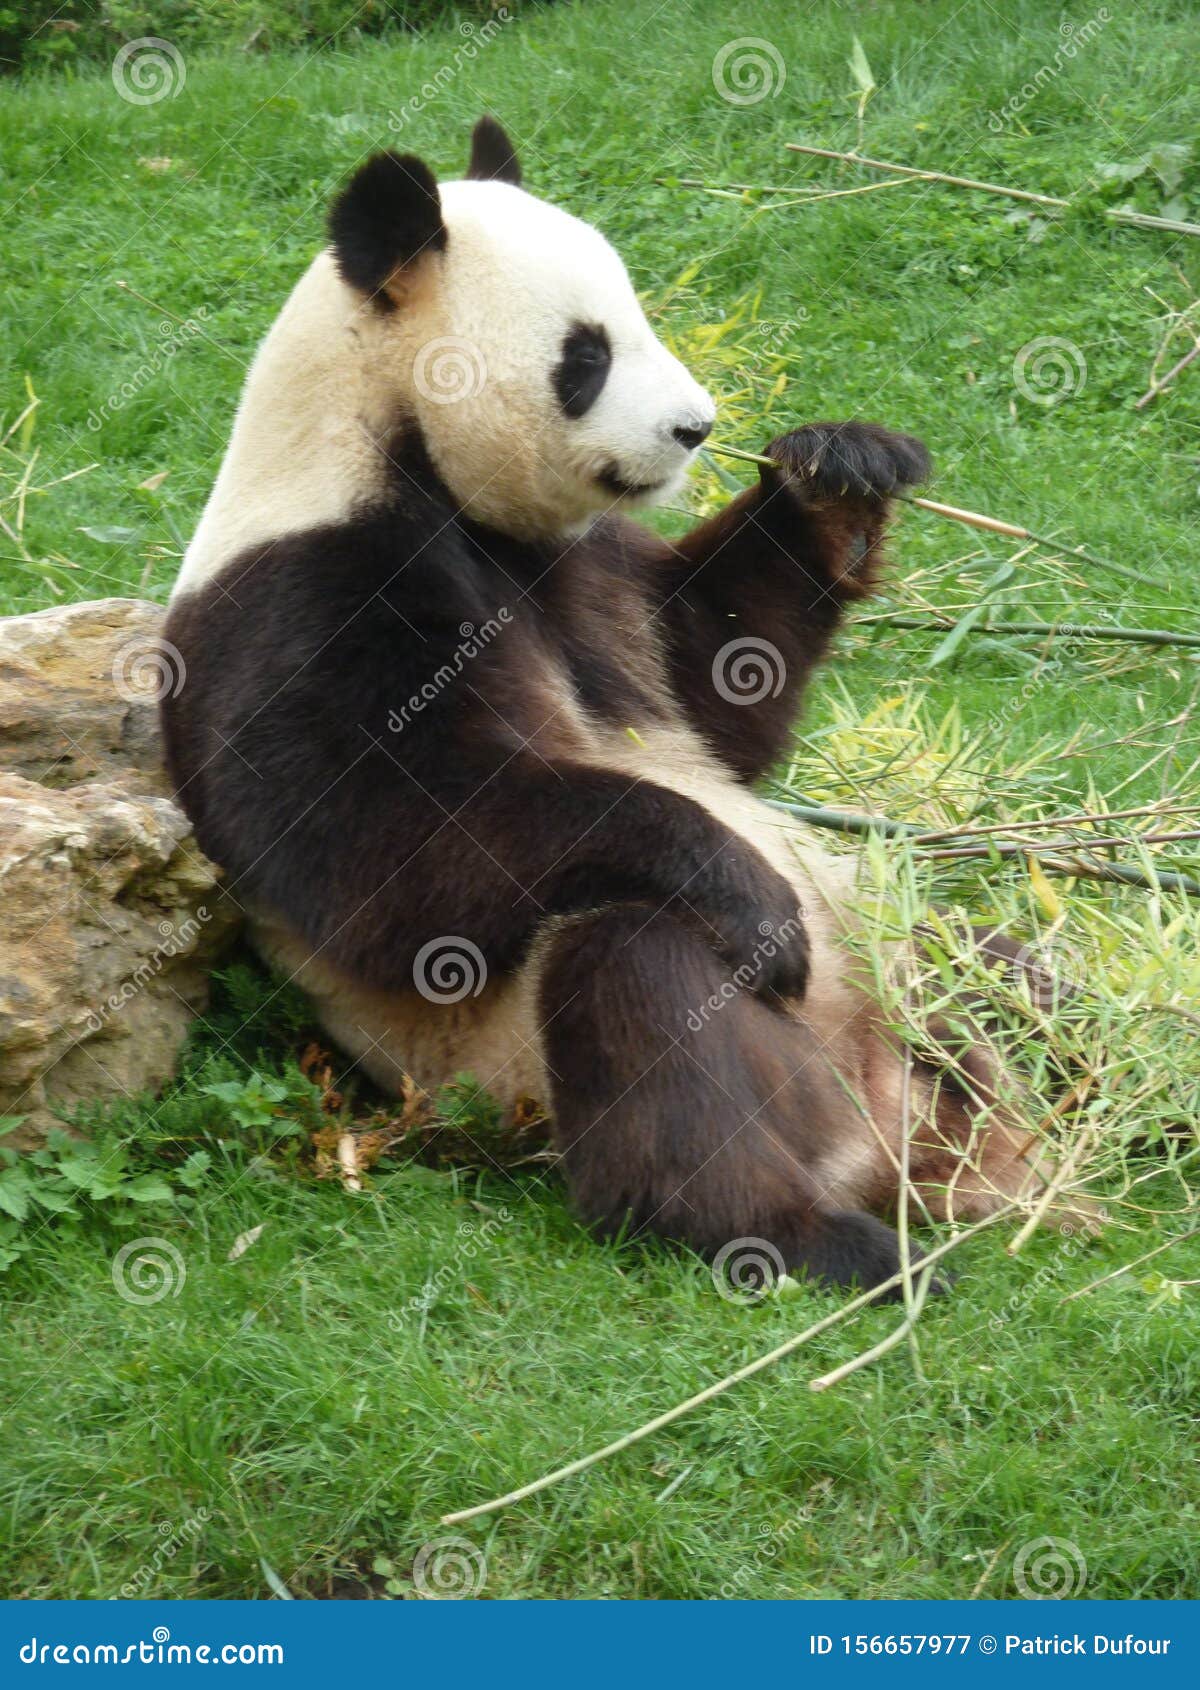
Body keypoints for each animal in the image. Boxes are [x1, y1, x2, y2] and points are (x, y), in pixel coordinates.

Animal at [162, 117, 1051, 1295]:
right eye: (586, 355)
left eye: (640, 318)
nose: (695, 427)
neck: (388, 442)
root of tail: (899, 1140)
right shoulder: (303, 596)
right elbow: (387, 852)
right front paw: (754, 904)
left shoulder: (586, 570)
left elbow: (715, 678)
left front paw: (840, 471)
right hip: (591, 1065)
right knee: (642, 991)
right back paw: (803, 1234)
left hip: (901, 947)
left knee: (1003, 965)